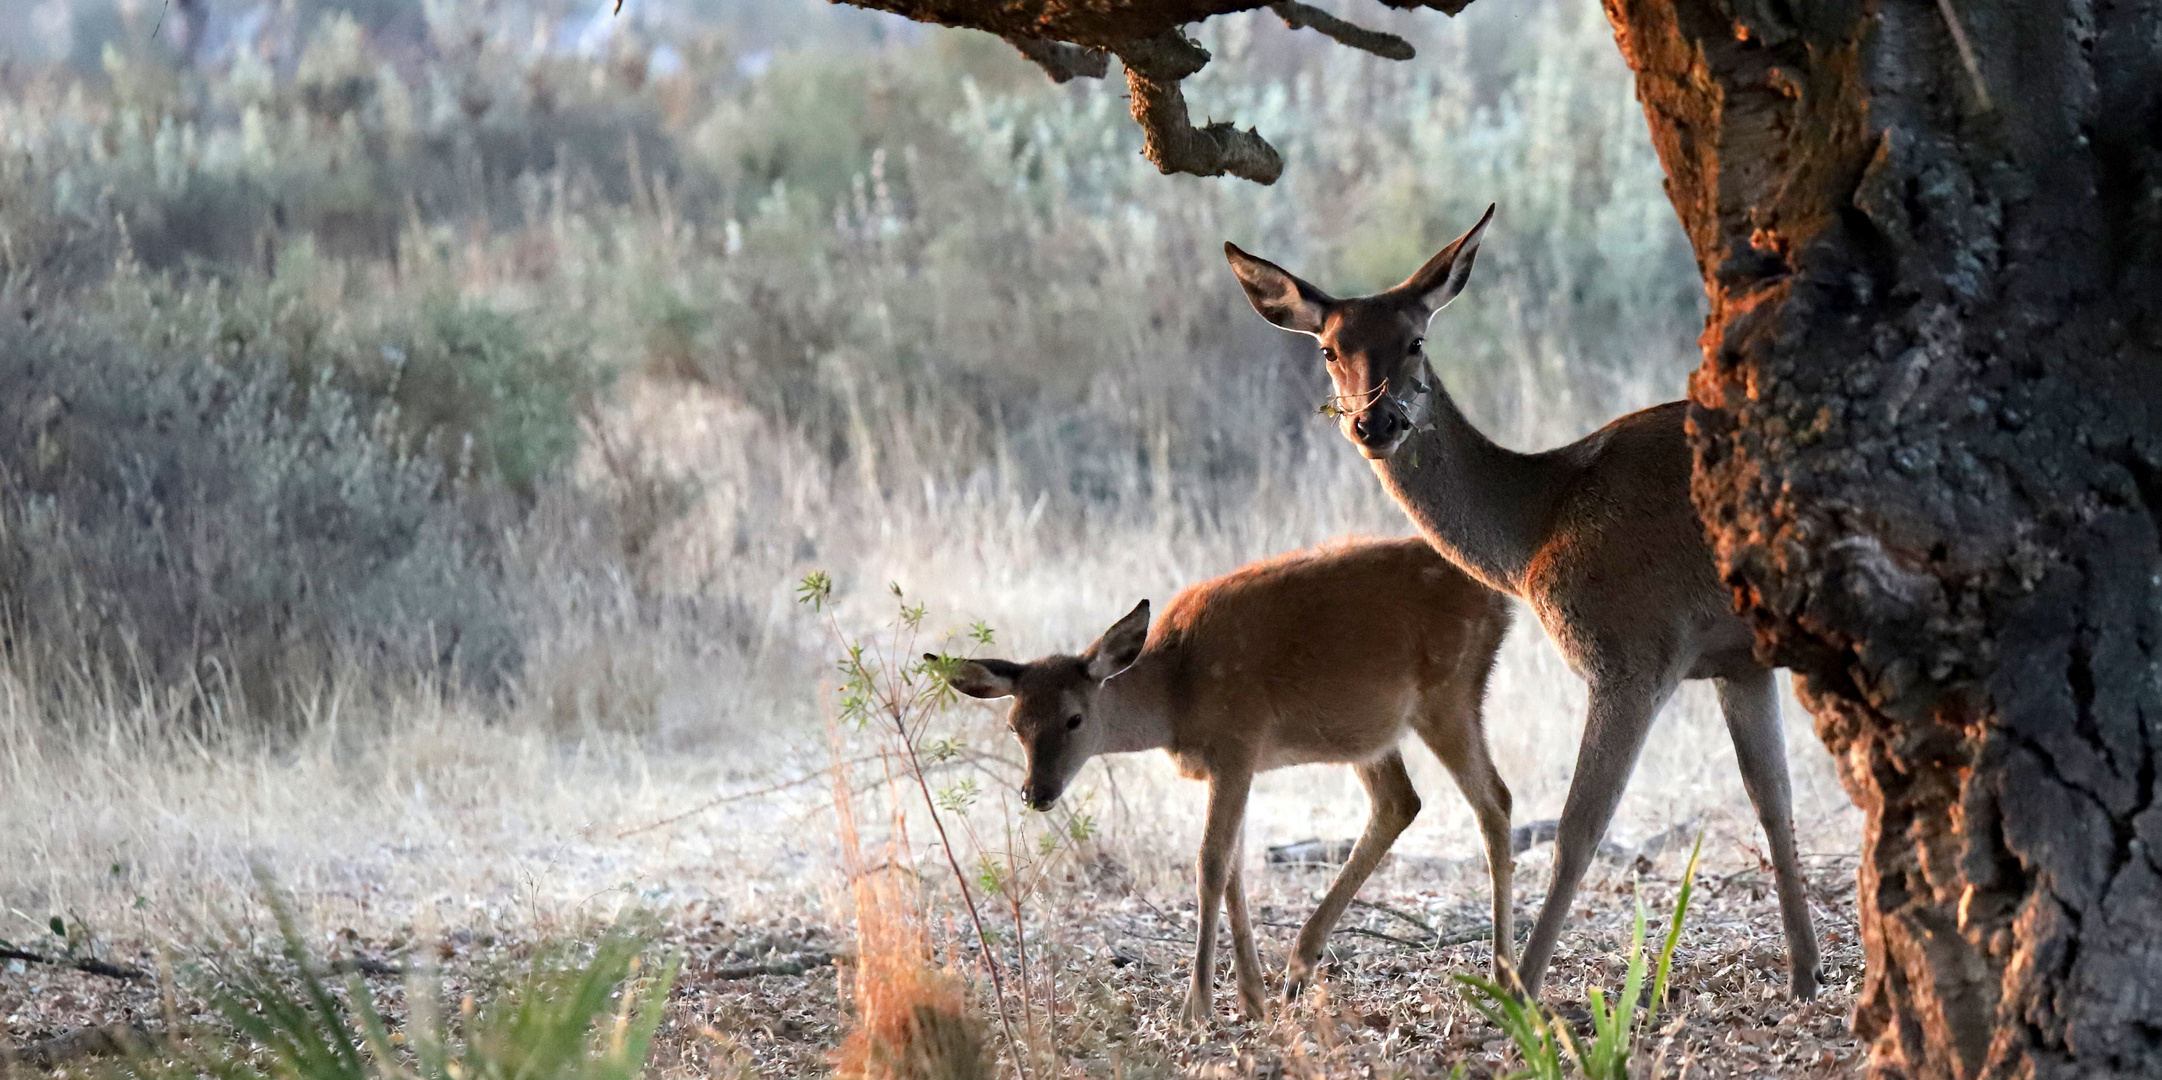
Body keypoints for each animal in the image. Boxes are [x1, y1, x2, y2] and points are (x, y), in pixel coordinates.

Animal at [938, 540, 1513, 1028]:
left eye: (1074, 719)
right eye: (1014, 726)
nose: (1036, 792)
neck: (1176, 697)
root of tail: (1498, 599)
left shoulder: (1237, 740)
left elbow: (1211, 864)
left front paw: (1197, 1007)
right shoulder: (1239, 762)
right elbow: (1236, 865)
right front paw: (1251, 998)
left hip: (1447, 691)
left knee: (1494, 801)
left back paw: (1504, 977)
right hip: (1371, 731)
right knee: (1400, 801)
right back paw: (1299, 969)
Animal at [1228, 206, 1816, 997]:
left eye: (1416, 339)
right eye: (1328, 349)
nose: (1375, 425)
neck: (1536, 525)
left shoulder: (1632, 652)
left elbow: (1578, 827)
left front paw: (1524, 988)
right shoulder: (1736, 661)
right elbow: (1773, 799)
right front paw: (1806, 975)